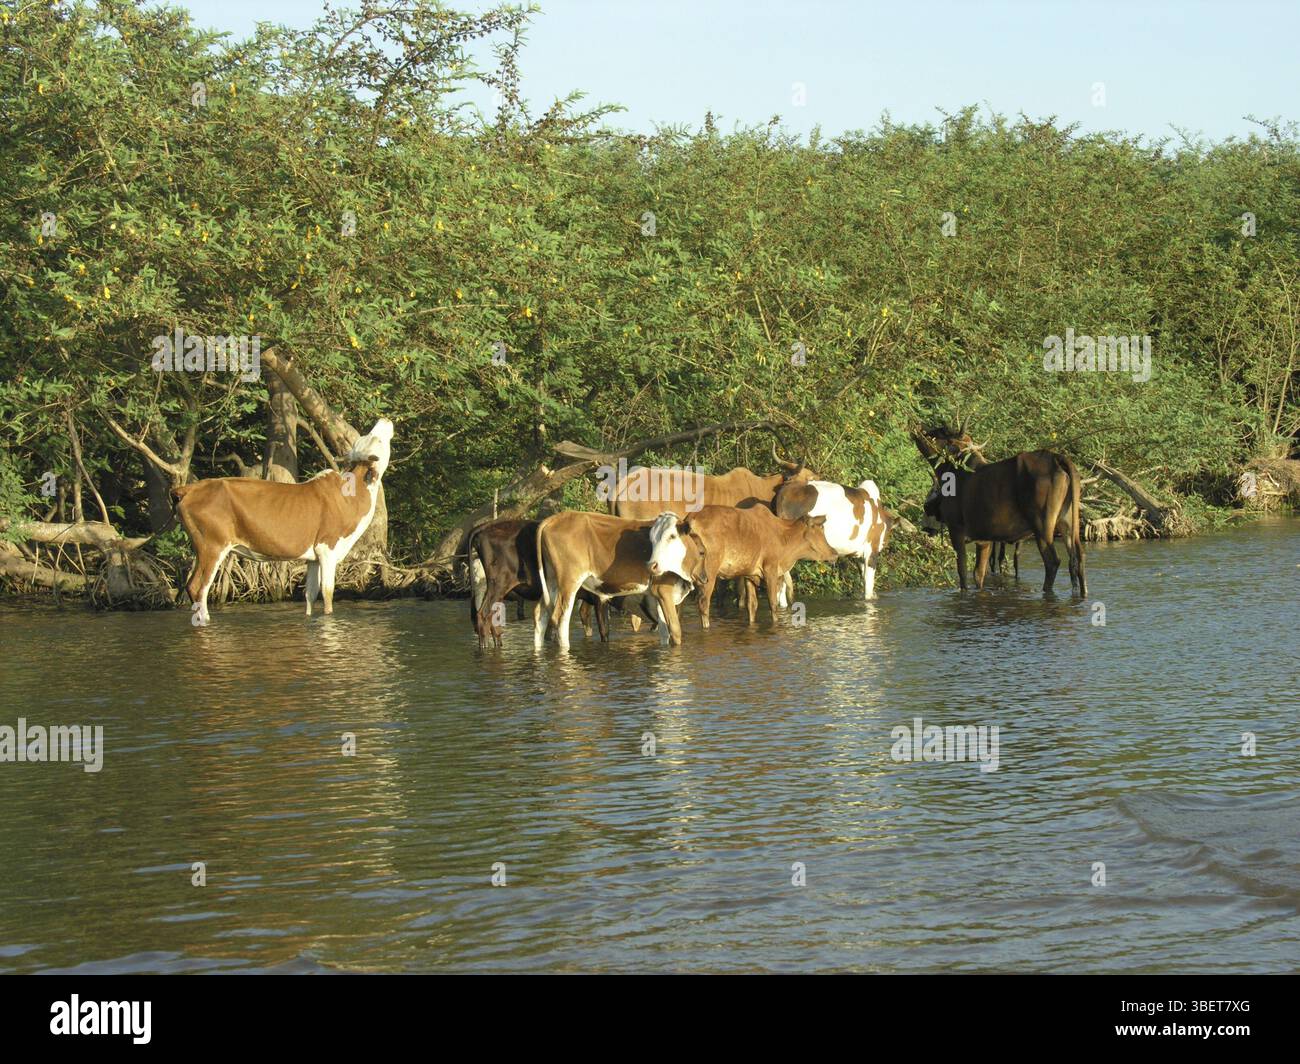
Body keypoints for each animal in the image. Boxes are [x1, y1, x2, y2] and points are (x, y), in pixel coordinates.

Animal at [174, 418, 394, 625]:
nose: (385, 420)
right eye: (378, 440)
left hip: (202, 547)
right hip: (212, 545)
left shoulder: (313, 557)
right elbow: (328, 593)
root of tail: (189, 489)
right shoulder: (327, 549)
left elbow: (310, 594)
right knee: (199, 588)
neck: (351, 496)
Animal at [533, 511, 692, 649]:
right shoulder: (664, 591)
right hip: (569, 581)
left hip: (552, 581)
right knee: (560, 619)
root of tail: (555, 518)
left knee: (540, 614)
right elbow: (674, 630)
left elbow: (665, 630)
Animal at [646, 506, 837, 637]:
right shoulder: (770, 569)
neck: (785, 542)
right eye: (820, 529)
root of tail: (689, 520)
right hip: (709, 572)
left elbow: (752, 605)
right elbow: (773, 604)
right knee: (703, 603)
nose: (834, 553)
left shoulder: (749, 573)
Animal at [915, 427, 1086, 595]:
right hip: (1068, 523)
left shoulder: (956, 528)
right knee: (1079, 557)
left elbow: (962, 571)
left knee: (1052, 562)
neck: (951, 469)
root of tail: (1057, 458)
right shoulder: (983, 539)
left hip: (1042, 527)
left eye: (941, 432)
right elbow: (978, 574)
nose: (919, 429)